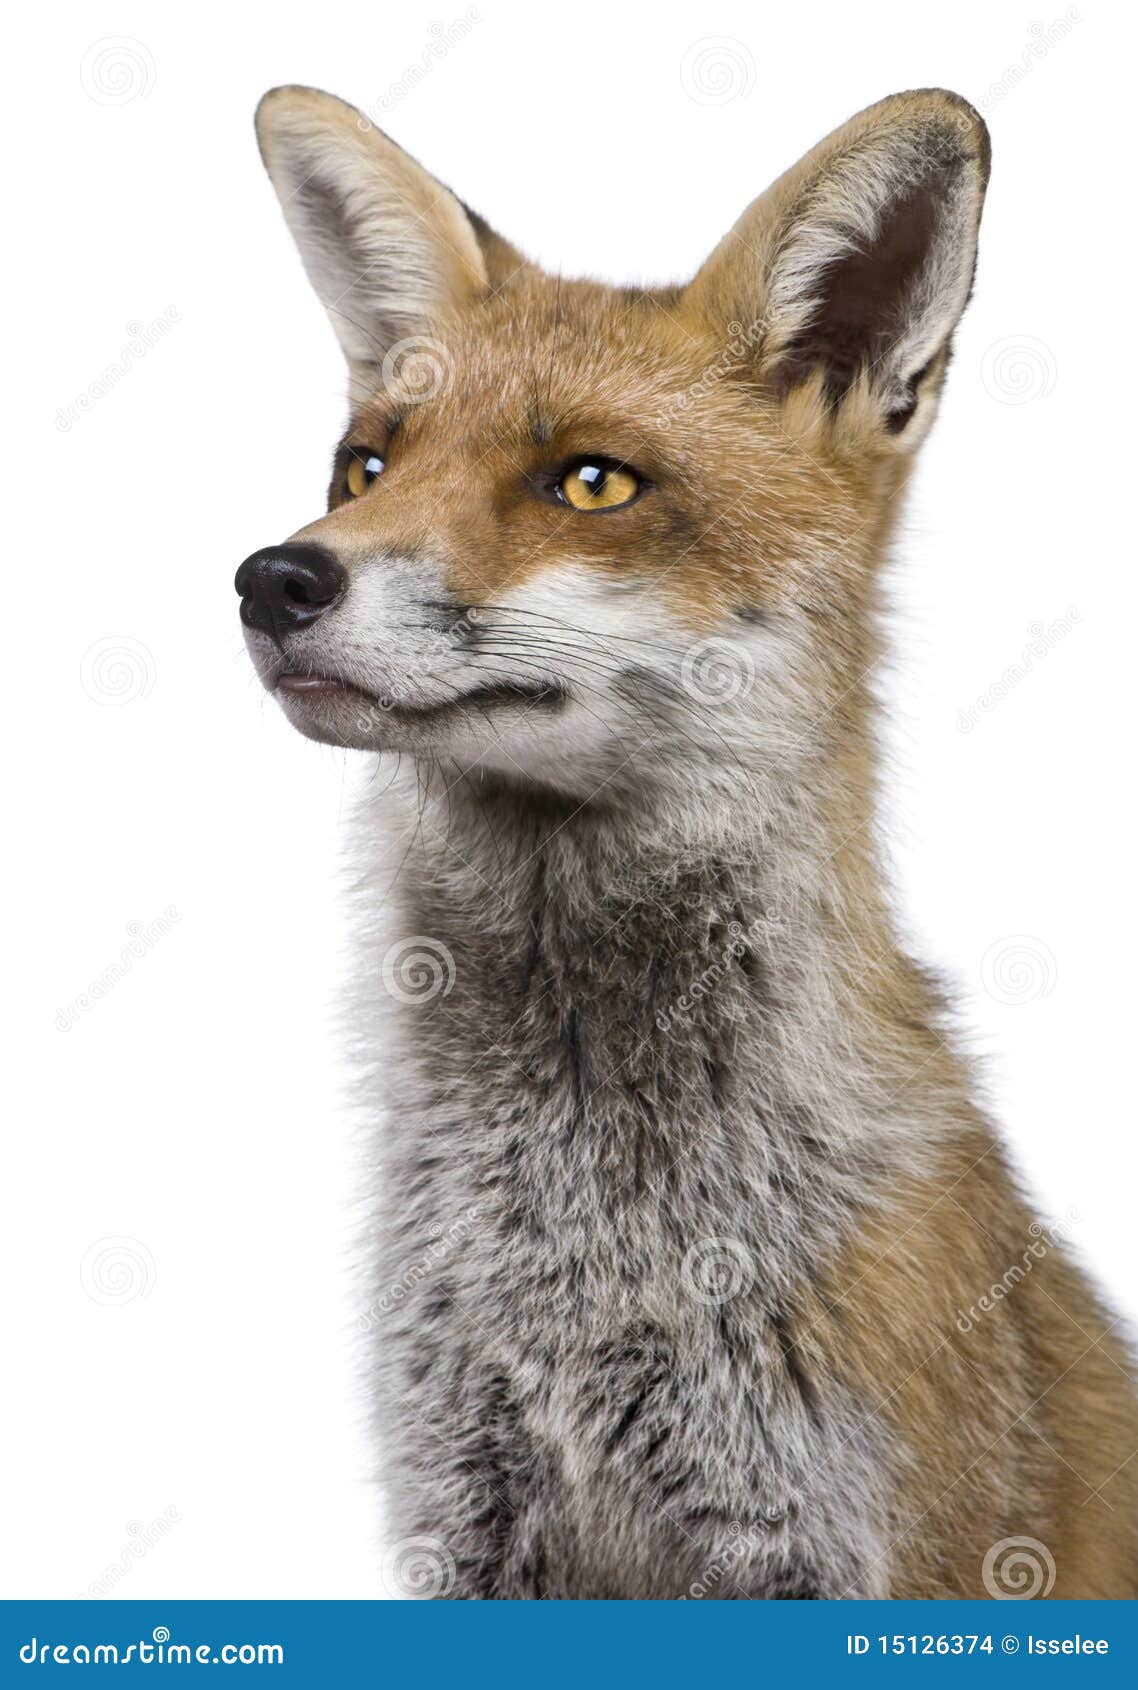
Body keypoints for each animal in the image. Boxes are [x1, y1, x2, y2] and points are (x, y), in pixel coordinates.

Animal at [237, 84, 1138, 1599]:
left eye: (591, 483)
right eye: (363, 465)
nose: (272, 578)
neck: (576, 1237)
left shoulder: (839, 1552)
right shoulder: (467, 1529)